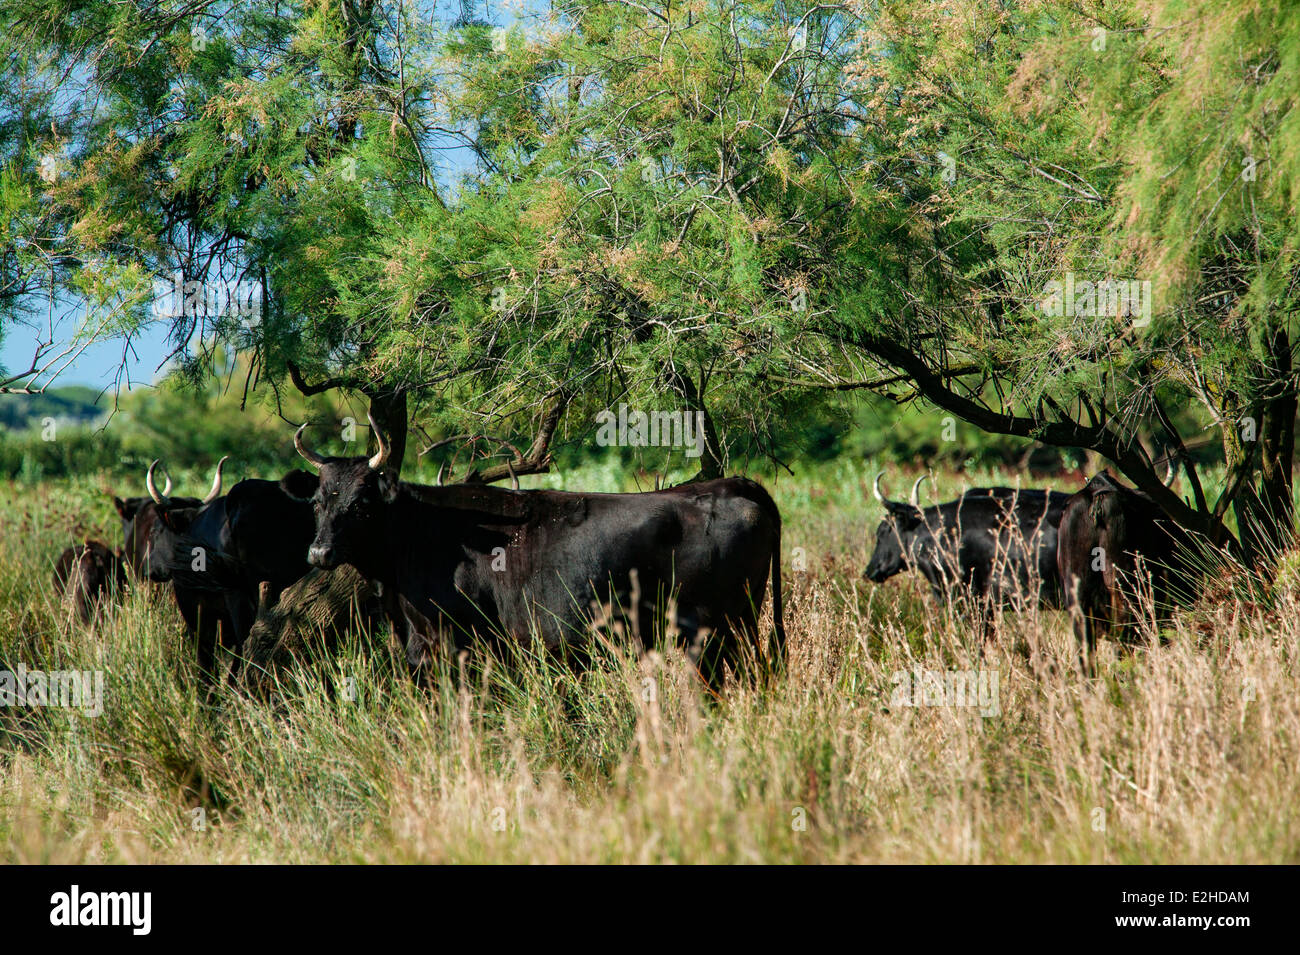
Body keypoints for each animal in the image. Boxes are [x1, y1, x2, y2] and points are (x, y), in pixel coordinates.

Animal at [290, 414, 785, 689]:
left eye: (361, 504)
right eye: (316, 502)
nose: (318, 553)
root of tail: (733, 483)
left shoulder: (458, 647)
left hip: (719, 633)